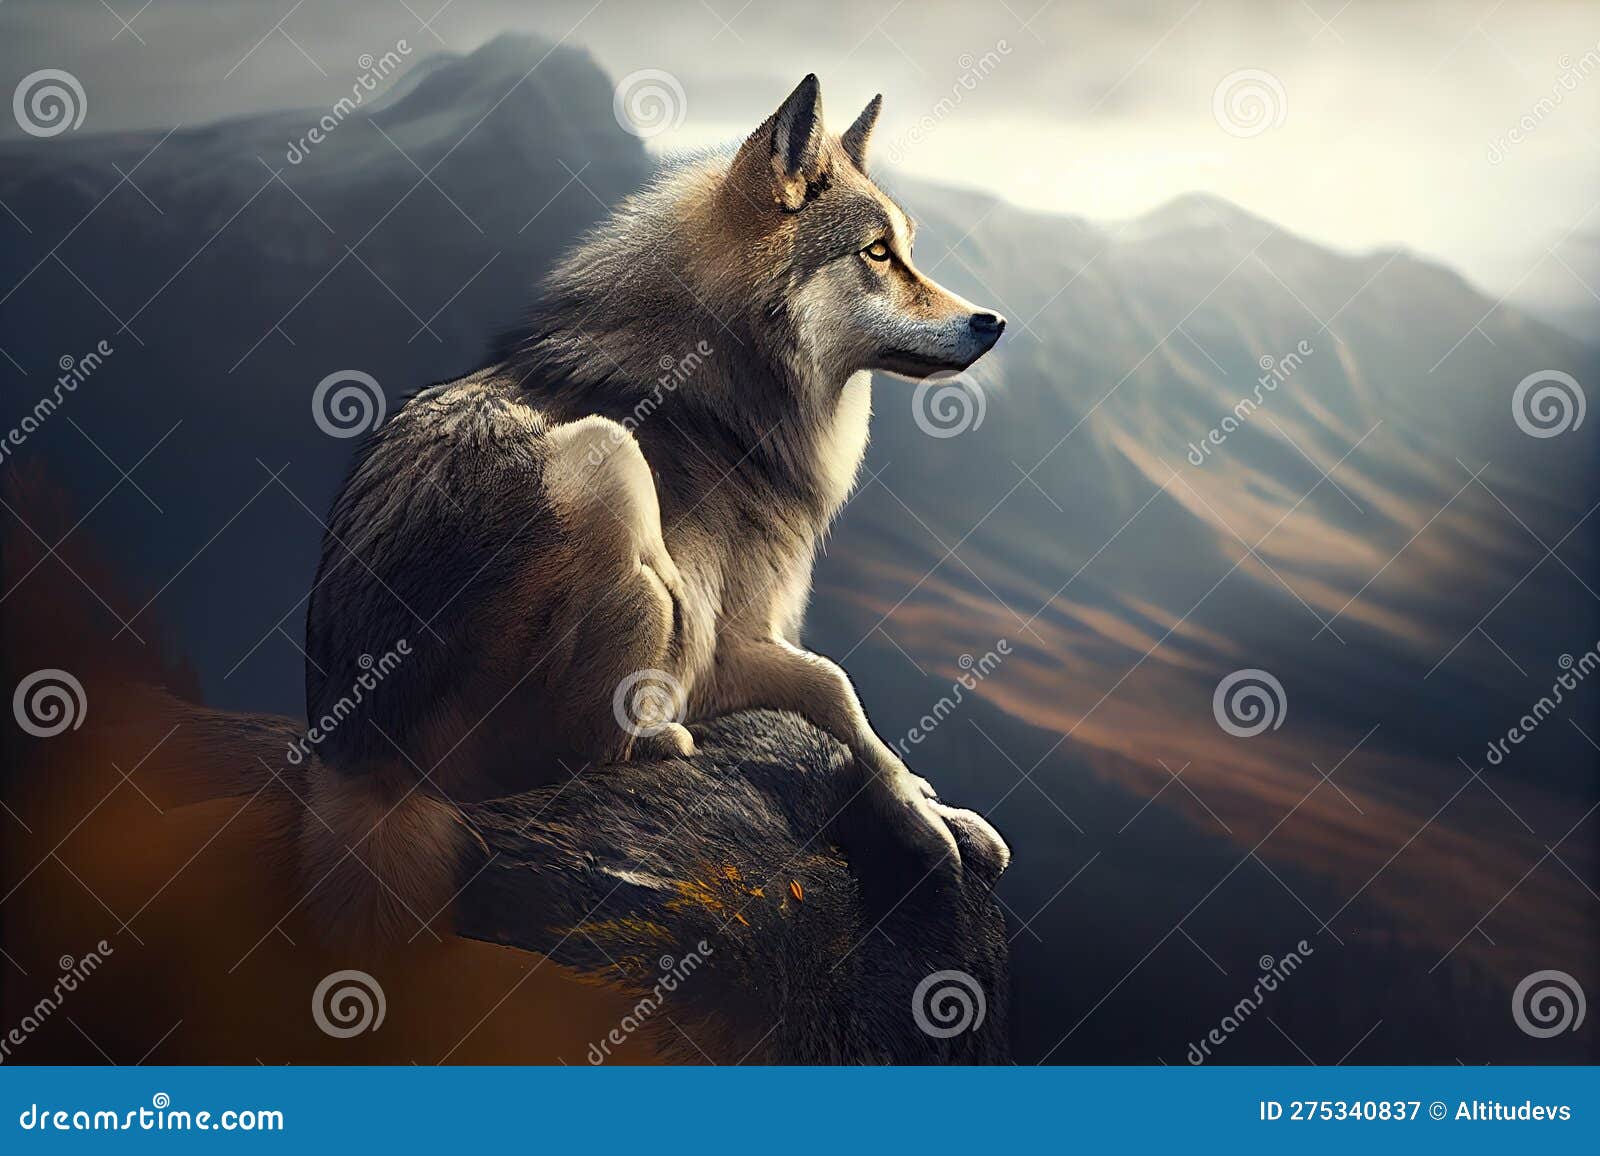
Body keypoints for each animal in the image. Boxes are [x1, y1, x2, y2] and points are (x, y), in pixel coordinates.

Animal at [299, 75, 1010, 942]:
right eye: (877, 252)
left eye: (906, 246)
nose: (992, 322)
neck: (730, 394)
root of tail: (361, 760)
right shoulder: (727, 645)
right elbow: (837, 688)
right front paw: (921, 817)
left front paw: (950, 811)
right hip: (604, 458)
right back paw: (657, 735)